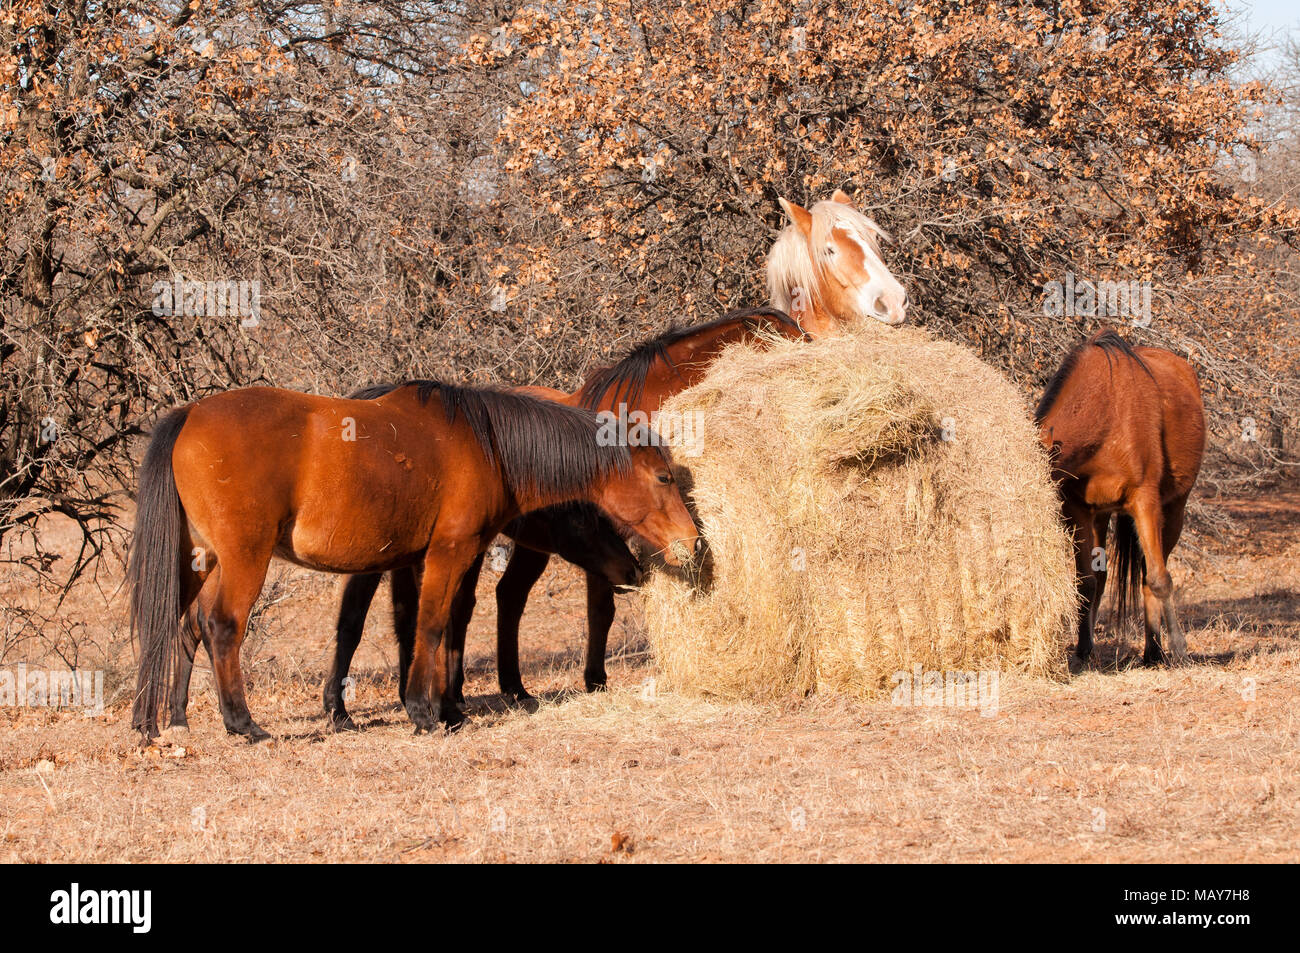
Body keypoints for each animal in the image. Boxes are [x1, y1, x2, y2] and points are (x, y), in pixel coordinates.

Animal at [129, 374, 702, 738]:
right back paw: (242, 723)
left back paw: (158, 721)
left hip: (197, 560)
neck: (487, 443)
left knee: (175, 625)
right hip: (243, 559)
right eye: (663, 477)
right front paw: (427, 713)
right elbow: (431, 624)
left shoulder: (429, 558)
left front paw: (437, 708)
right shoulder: (449, 553)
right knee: (221, 626)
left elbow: (430, 625)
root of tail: (190, 414)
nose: (692, 540)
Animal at [1034, 330, 1206, 665]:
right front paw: (1082, 651)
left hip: (1173, 512)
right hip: (1102, 516)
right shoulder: (1078, 510)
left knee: (1150, 575)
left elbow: (1159, 579)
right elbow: (1087, 581)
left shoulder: (1145, 503)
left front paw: (1179, 647)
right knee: (1104, 578)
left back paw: (1155, 651)